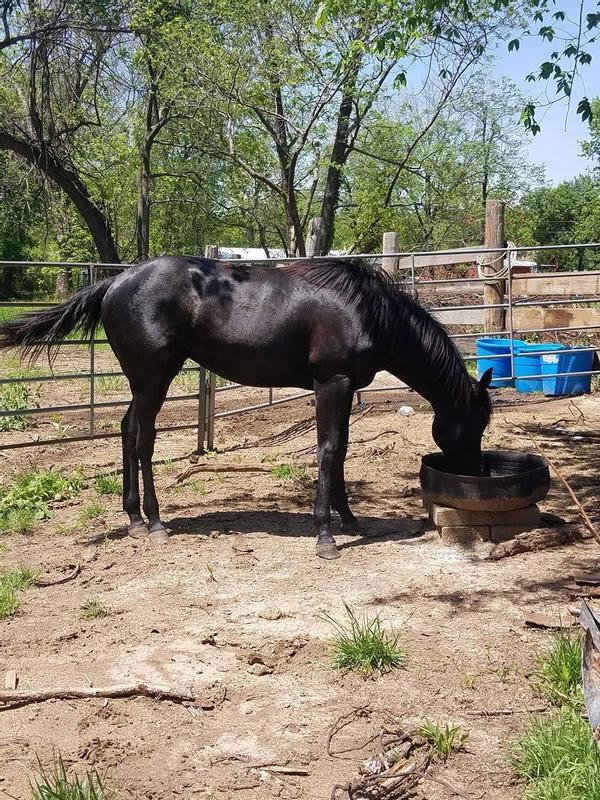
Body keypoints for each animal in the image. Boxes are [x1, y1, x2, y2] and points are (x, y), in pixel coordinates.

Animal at [0, 257, 492, 559]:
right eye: (476, 424)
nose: (476, 474)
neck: (368, 311)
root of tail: (116, 281)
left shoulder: (344, 388)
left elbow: (341, 452)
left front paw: (350, 519)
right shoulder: (332, 385)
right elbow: (328, 450)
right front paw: (325, 534)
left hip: (147, 382)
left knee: (127, 431)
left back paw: (135, 518)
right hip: (152, 379)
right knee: (143, 439)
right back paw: (155, 523)